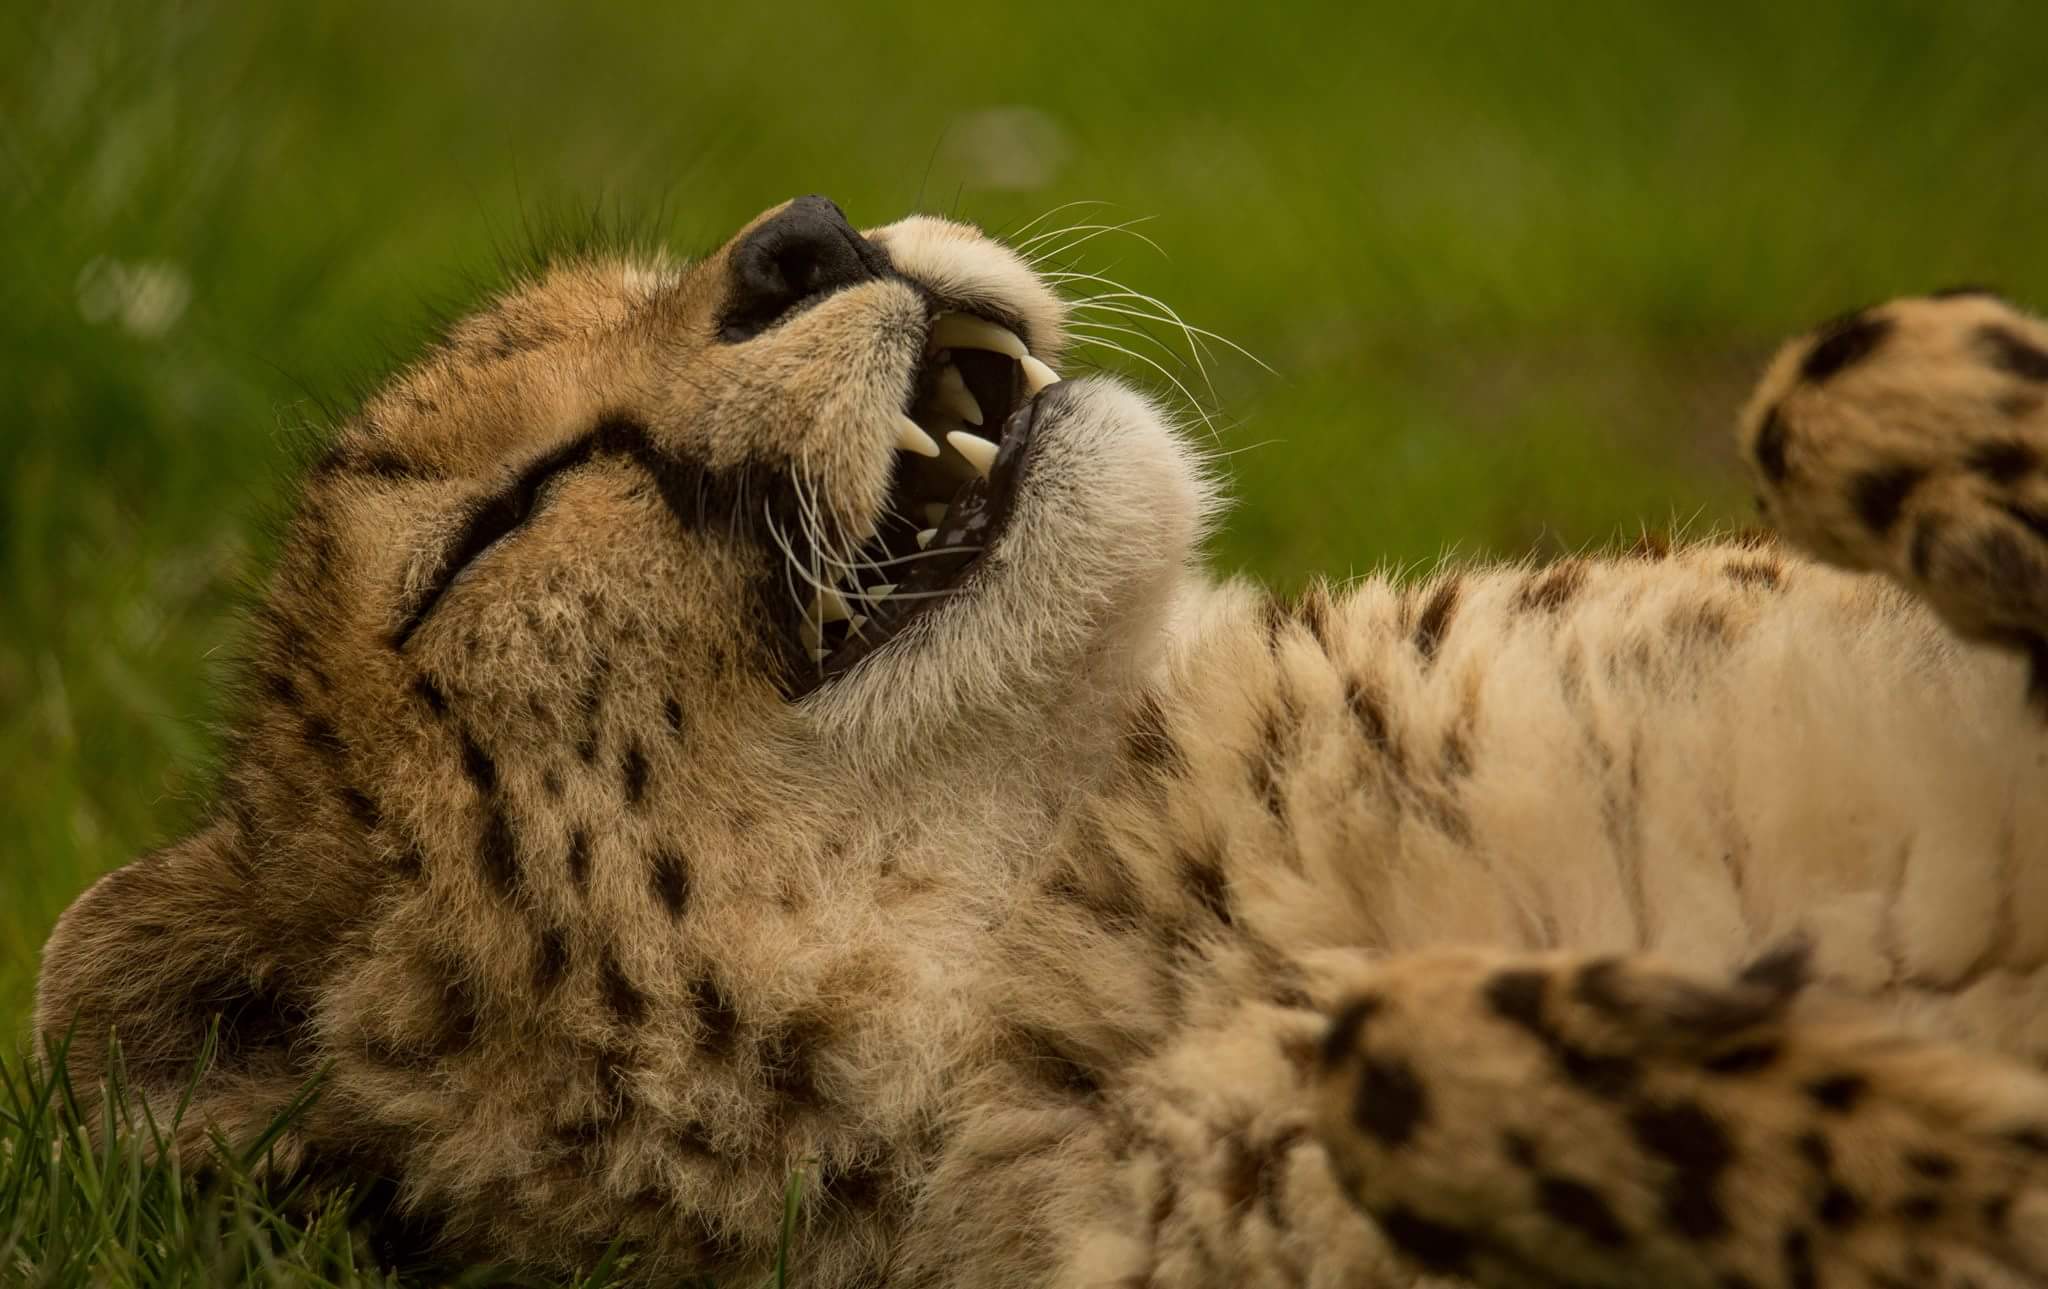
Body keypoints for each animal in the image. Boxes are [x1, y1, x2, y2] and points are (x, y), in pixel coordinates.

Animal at [31, 195, 2048, 1289]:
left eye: (674, 269)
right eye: (500, 519)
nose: (810, 238)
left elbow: (1810, 388)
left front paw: (1968, 412)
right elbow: (1386, 1057)